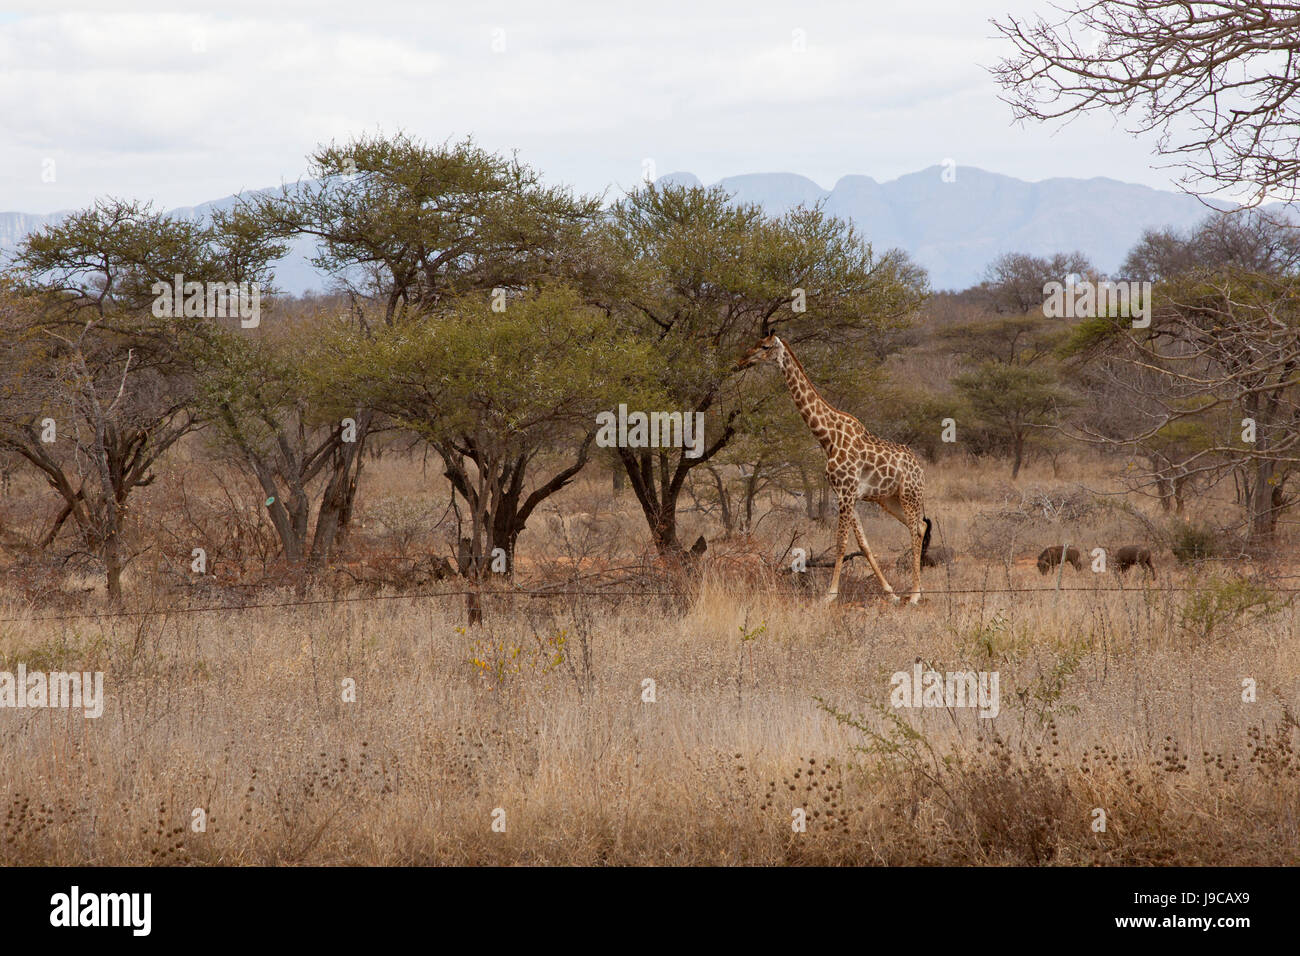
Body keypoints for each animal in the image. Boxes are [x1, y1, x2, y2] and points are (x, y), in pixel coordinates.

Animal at [739, 333, 931, 605]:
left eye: (764, 346)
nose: (742, 360)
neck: (827, 436)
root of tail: (920, 469)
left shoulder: (847, 492)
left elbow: (841, 543)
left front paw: (829, 595)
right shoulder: (845, 493)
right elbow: (863, 544)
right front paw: (890, 592)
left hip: (909, 495)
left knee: (915, 529)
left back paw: (914, 595)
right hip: (889, 500)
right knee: (920, 527)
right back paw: (918, 590)